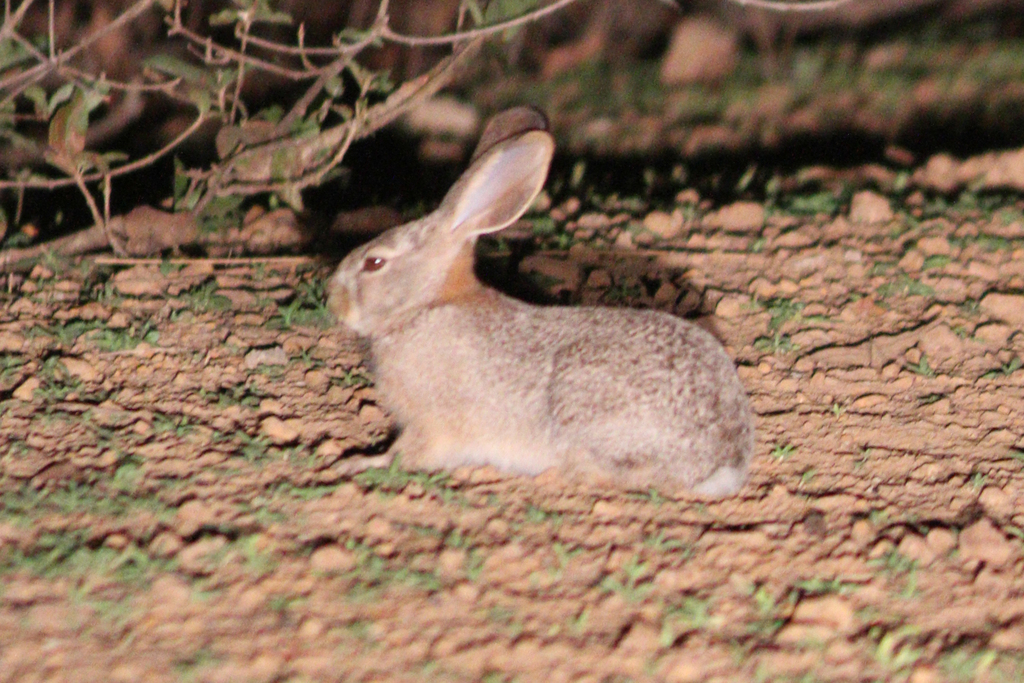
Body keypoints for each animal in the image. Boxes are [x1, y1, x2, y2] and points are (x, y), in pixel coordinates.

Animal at [327, 107, 754, 496]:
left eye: (374, 263)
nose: (333, 300)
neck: (423, 306)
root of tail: (724, 462)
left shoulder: (431, 424)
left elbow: (406, 453)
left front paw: (359, 463)